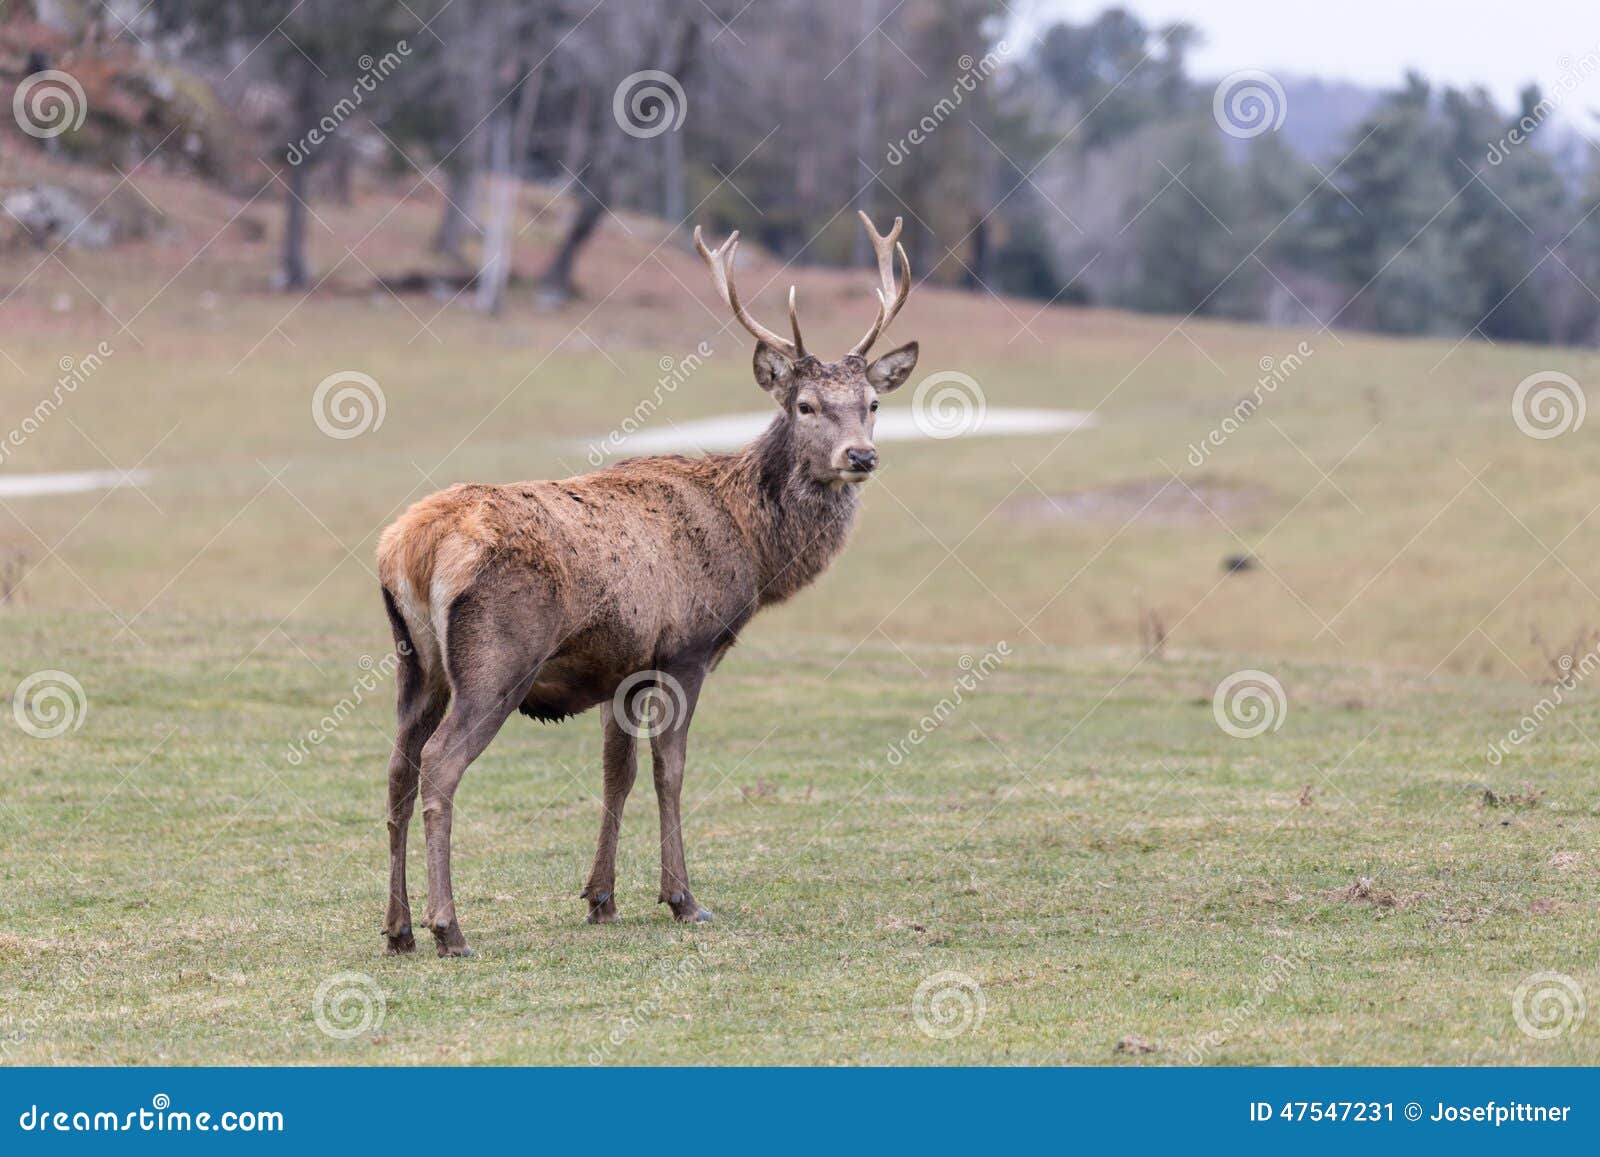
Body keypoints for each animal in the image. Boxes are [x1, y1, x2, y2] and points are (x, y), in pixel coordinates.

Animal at [376, 212, 918, 957]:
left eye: (872, 403)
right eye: (805, 405)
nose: (860, 456)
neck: (751, 546)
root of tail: (411, 548)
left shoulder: (619, 664)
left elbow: (616, 772)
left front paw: (600, 897)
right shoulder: (686, 648)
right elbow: (670, 769)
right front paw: (684, 897)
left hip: (413, 661)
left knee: (397, 767)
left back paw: (397, 928)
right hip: (495, 658)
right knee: (439, 763)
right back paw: (448, 927)